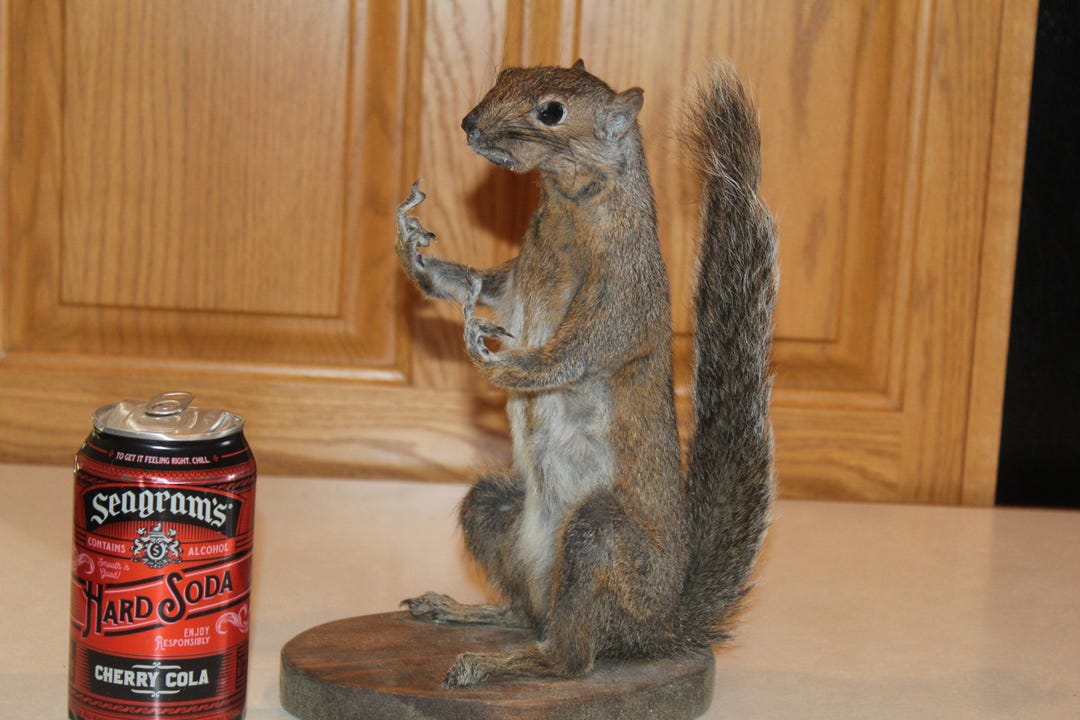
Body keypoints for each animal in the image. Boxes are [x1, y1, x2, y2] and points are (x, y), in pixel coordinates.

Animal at [396, 59, 777, 689]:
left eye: (552, 111)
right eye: (505, 72)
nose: (469, 123)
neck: (566, 207)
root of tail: (662, 625)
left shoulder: (621, 296)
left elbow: (568, 357)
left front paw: (491, 359)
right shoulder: (513, 280)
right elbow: (475, 284)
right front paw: (414, 250)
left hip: (600, 541)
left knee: (570, 656)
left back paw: (499, 663)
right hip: (494, 512)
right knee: (525, 612)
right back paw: (467, 612)